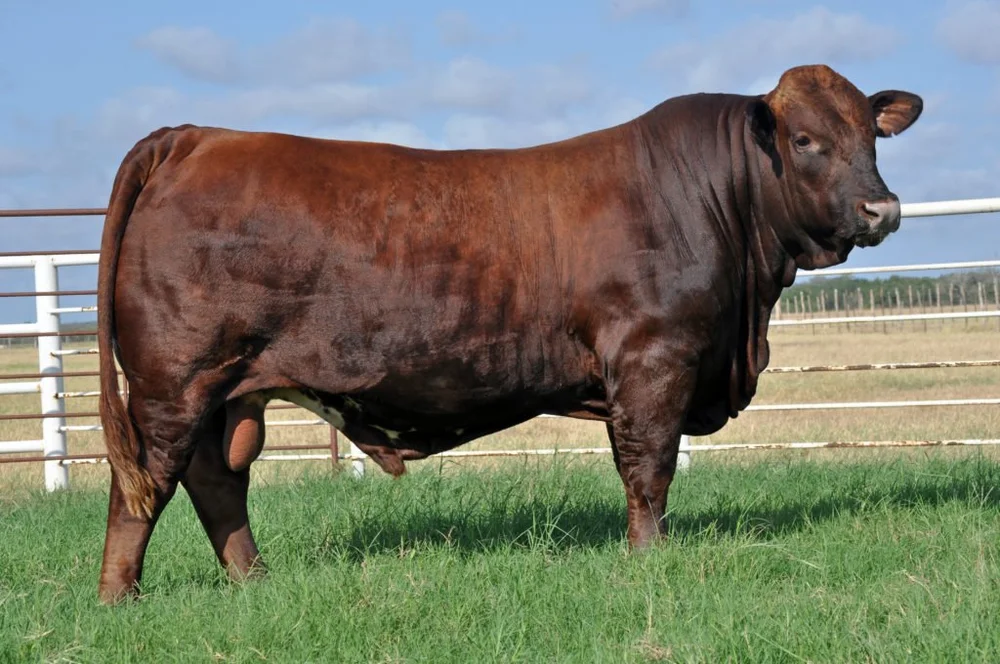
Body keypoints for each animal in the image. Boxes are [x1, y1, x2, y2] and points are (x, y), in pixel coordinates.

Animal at [96, 64, 922, 603]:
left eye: (871, 137)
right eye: (806, 139)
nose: (882, 209)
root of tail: (195, 136)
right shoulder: (655, 358)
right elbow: (649, 470)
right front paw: (648, 560)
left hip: (227, 391)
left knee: (216, 480)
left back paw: (253, 581)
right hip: (175, 382)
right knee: (145, 484)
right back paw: (119, 597)